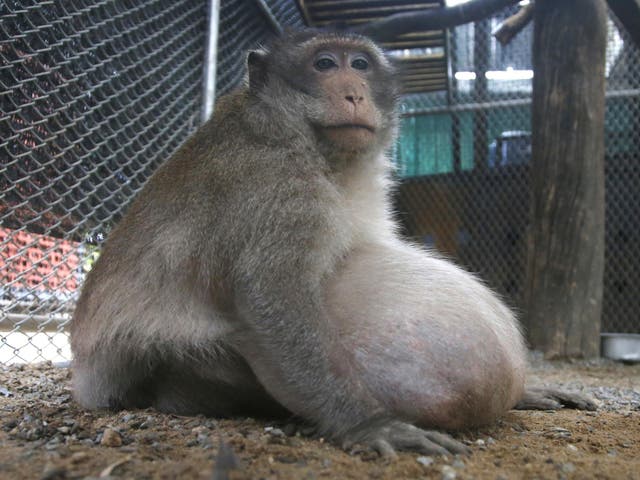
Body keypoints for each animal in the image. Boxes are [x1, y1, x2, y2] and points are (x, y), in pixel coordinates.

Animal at [70, 29, 595, 457]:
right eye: (324, 64)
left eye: (359, 64)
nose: (353, 92)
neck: (312, 147)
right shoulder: (274, 187)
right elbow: (269, 297)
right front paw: (367, 425)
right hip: (155, 366)